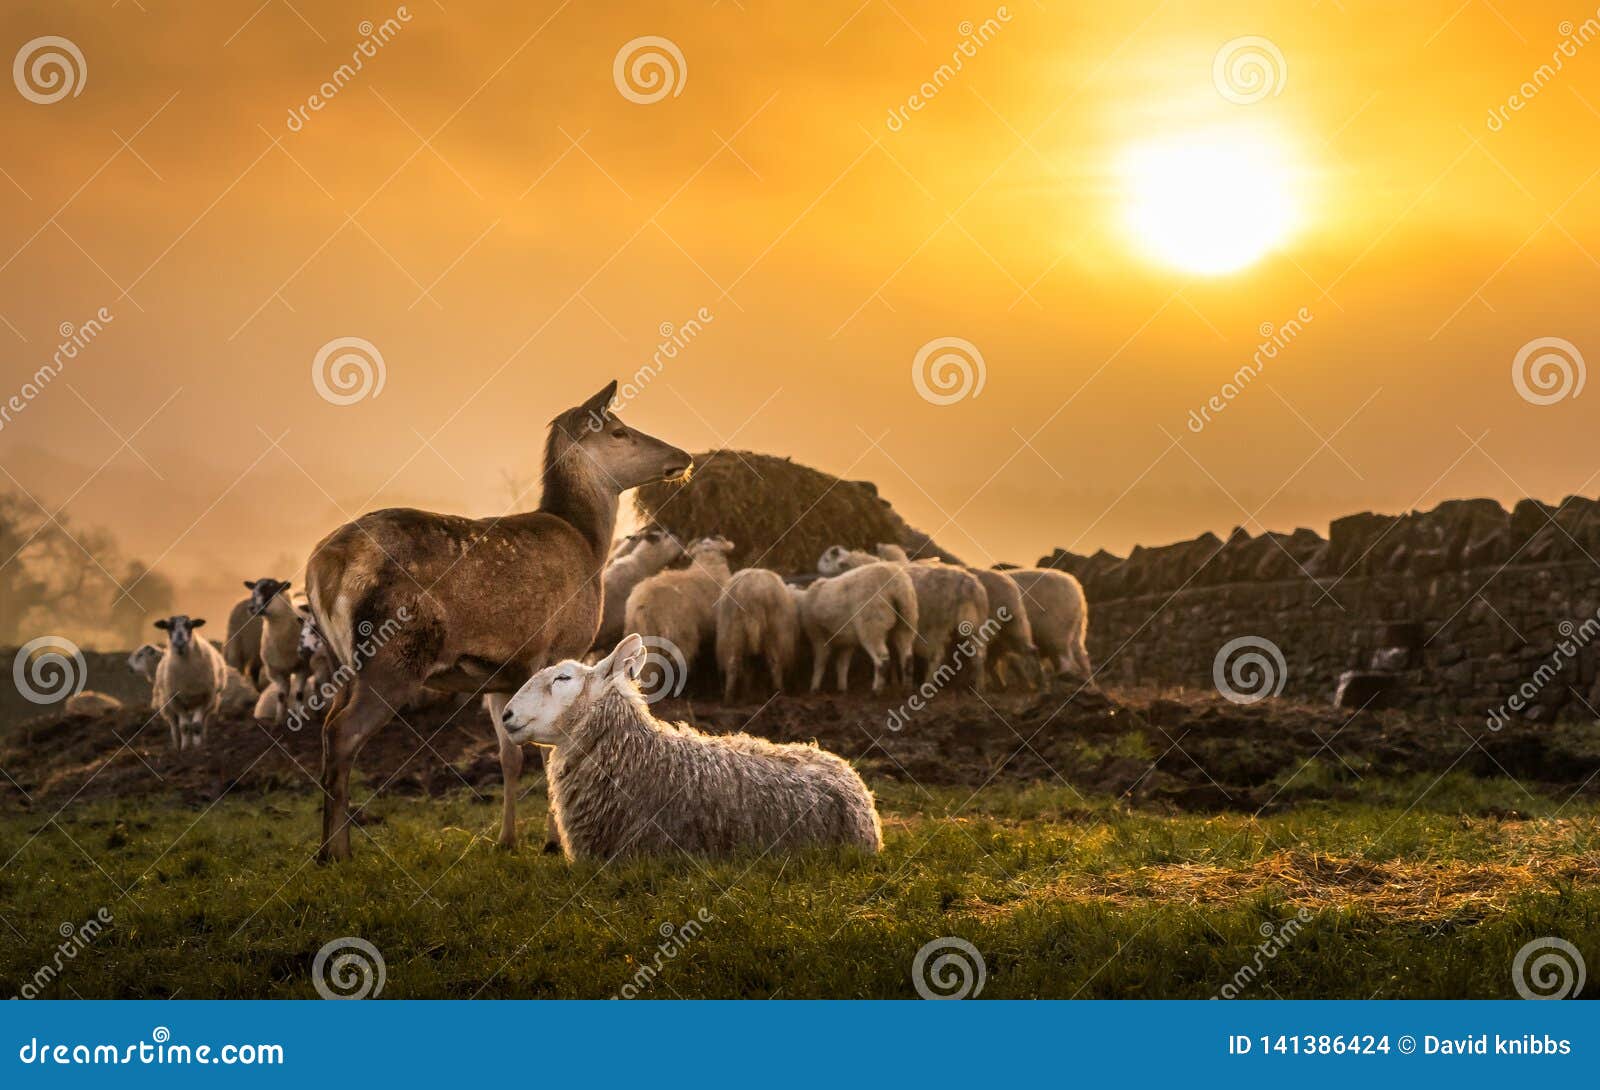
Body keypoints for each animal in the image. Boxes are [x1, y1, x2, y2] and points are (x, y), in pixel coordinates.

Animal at [150, 615, 228, 751]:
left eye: (190, 626)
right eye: (169, 627)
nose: (180, 643)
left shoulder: (206, 697)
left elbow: (196, 725)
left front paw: (197, 747)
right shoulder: (175, 701)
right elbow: (184, 727)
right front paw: (185, 748)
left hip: (213, 701)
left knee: (204, 720)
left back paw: (203, 740)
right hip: (166, 704)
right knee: (174, 725)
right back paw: (176, 745)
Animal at [304, 380, 692, 861]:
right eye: (620, 431)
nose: (683, 455)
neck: (589, 545)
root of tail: (323, 566)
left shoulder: (497, 676)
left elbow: (511, 756)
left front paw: (506, 840)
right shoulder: (559, 646)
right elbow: (546, 751)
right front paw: (553, 842)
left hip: (336, 659)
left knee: (327, 729)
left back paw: (326, 847)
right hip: (393, 657)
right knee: (343, 734)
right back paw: (336, 852)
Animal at [714, 567, 798, 700]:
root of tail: (751, 591)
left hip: (734, 629)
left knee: (733, 662)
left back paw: (729, 698)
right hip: (772, 630)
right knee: (774, 662)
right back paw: (779, 693)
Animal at [790, 560, 917, 693]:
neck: (803, 601)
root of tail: (895, 585)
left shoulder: (818, 636)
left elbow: (820, 662)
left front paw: (814, 687)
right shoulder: (847, 642)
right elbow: (842, 664)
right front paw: (842, 688)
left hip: (872, 625)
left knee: (882, 660)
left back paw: (876, 691)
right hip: (907, 619)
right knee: (908, 658)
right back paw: (906, 688)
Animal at [818, 546, 989, 690]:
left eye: (827, 559)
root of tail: (969, 585)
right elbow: (895, 655)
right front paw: (895, 681)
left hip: (936, 624)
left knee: (937, 655)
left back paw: (927, 684)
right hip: (976, 625)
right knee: (979, 655)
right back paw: (979, 687)